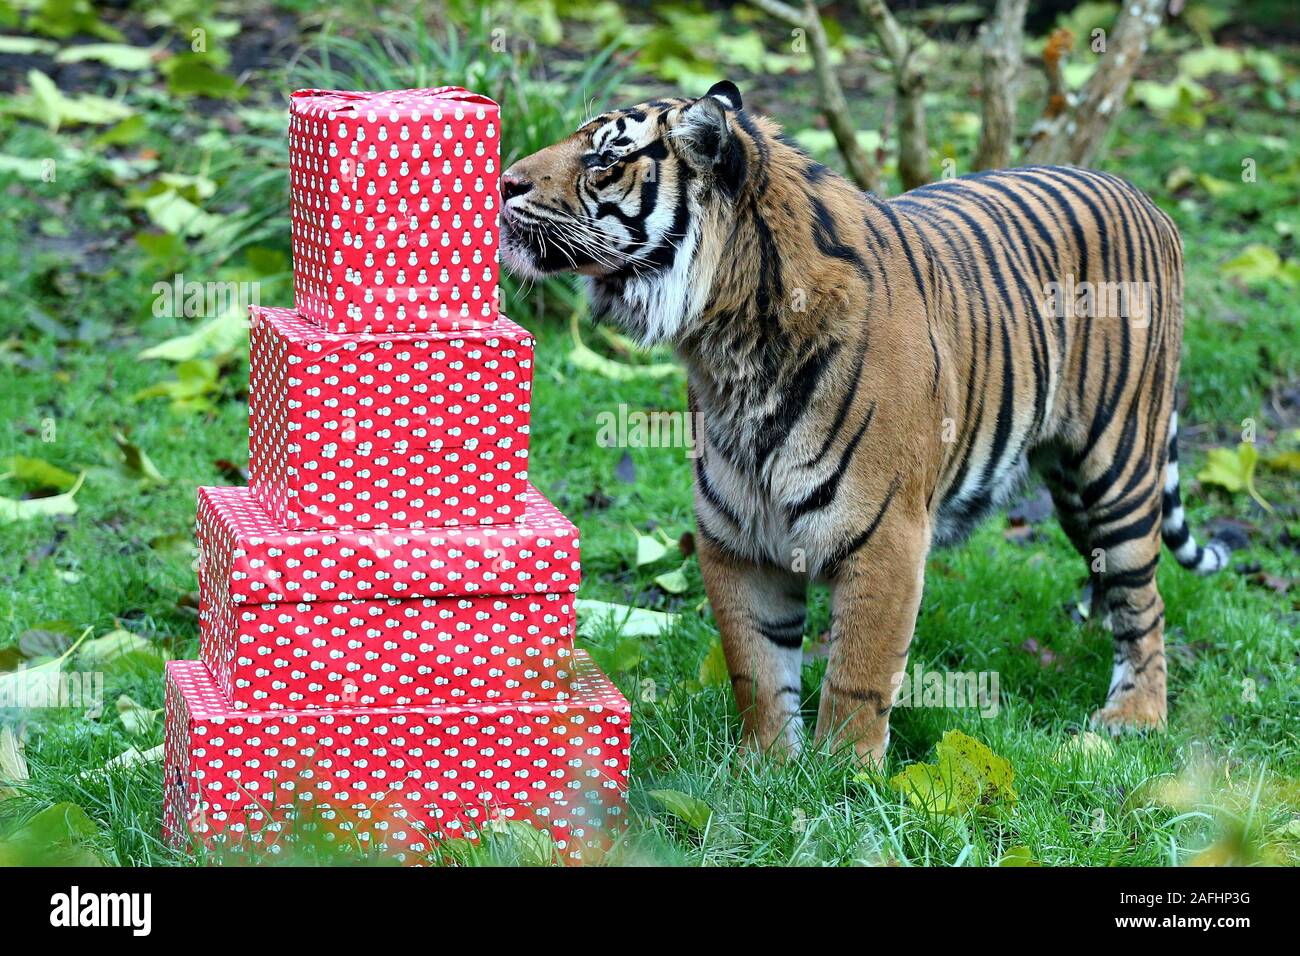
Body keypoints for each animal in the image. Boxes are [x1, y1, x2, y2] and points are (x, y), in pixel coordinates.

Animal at [499, 80, 1233, 765]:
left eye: (605, 158)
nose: (505, 182)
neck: (726, 346)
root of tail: (1144, 197)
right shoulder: (735, 537)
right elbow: (756, 667)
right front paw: (768, 767)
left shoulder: (886, 539)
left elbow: (858, 674)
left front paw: (843, 777)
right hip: (1072, 488)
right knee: (1111, 577)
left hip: (1118, 466)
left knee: (1145, 599)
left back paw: (1133, 718)